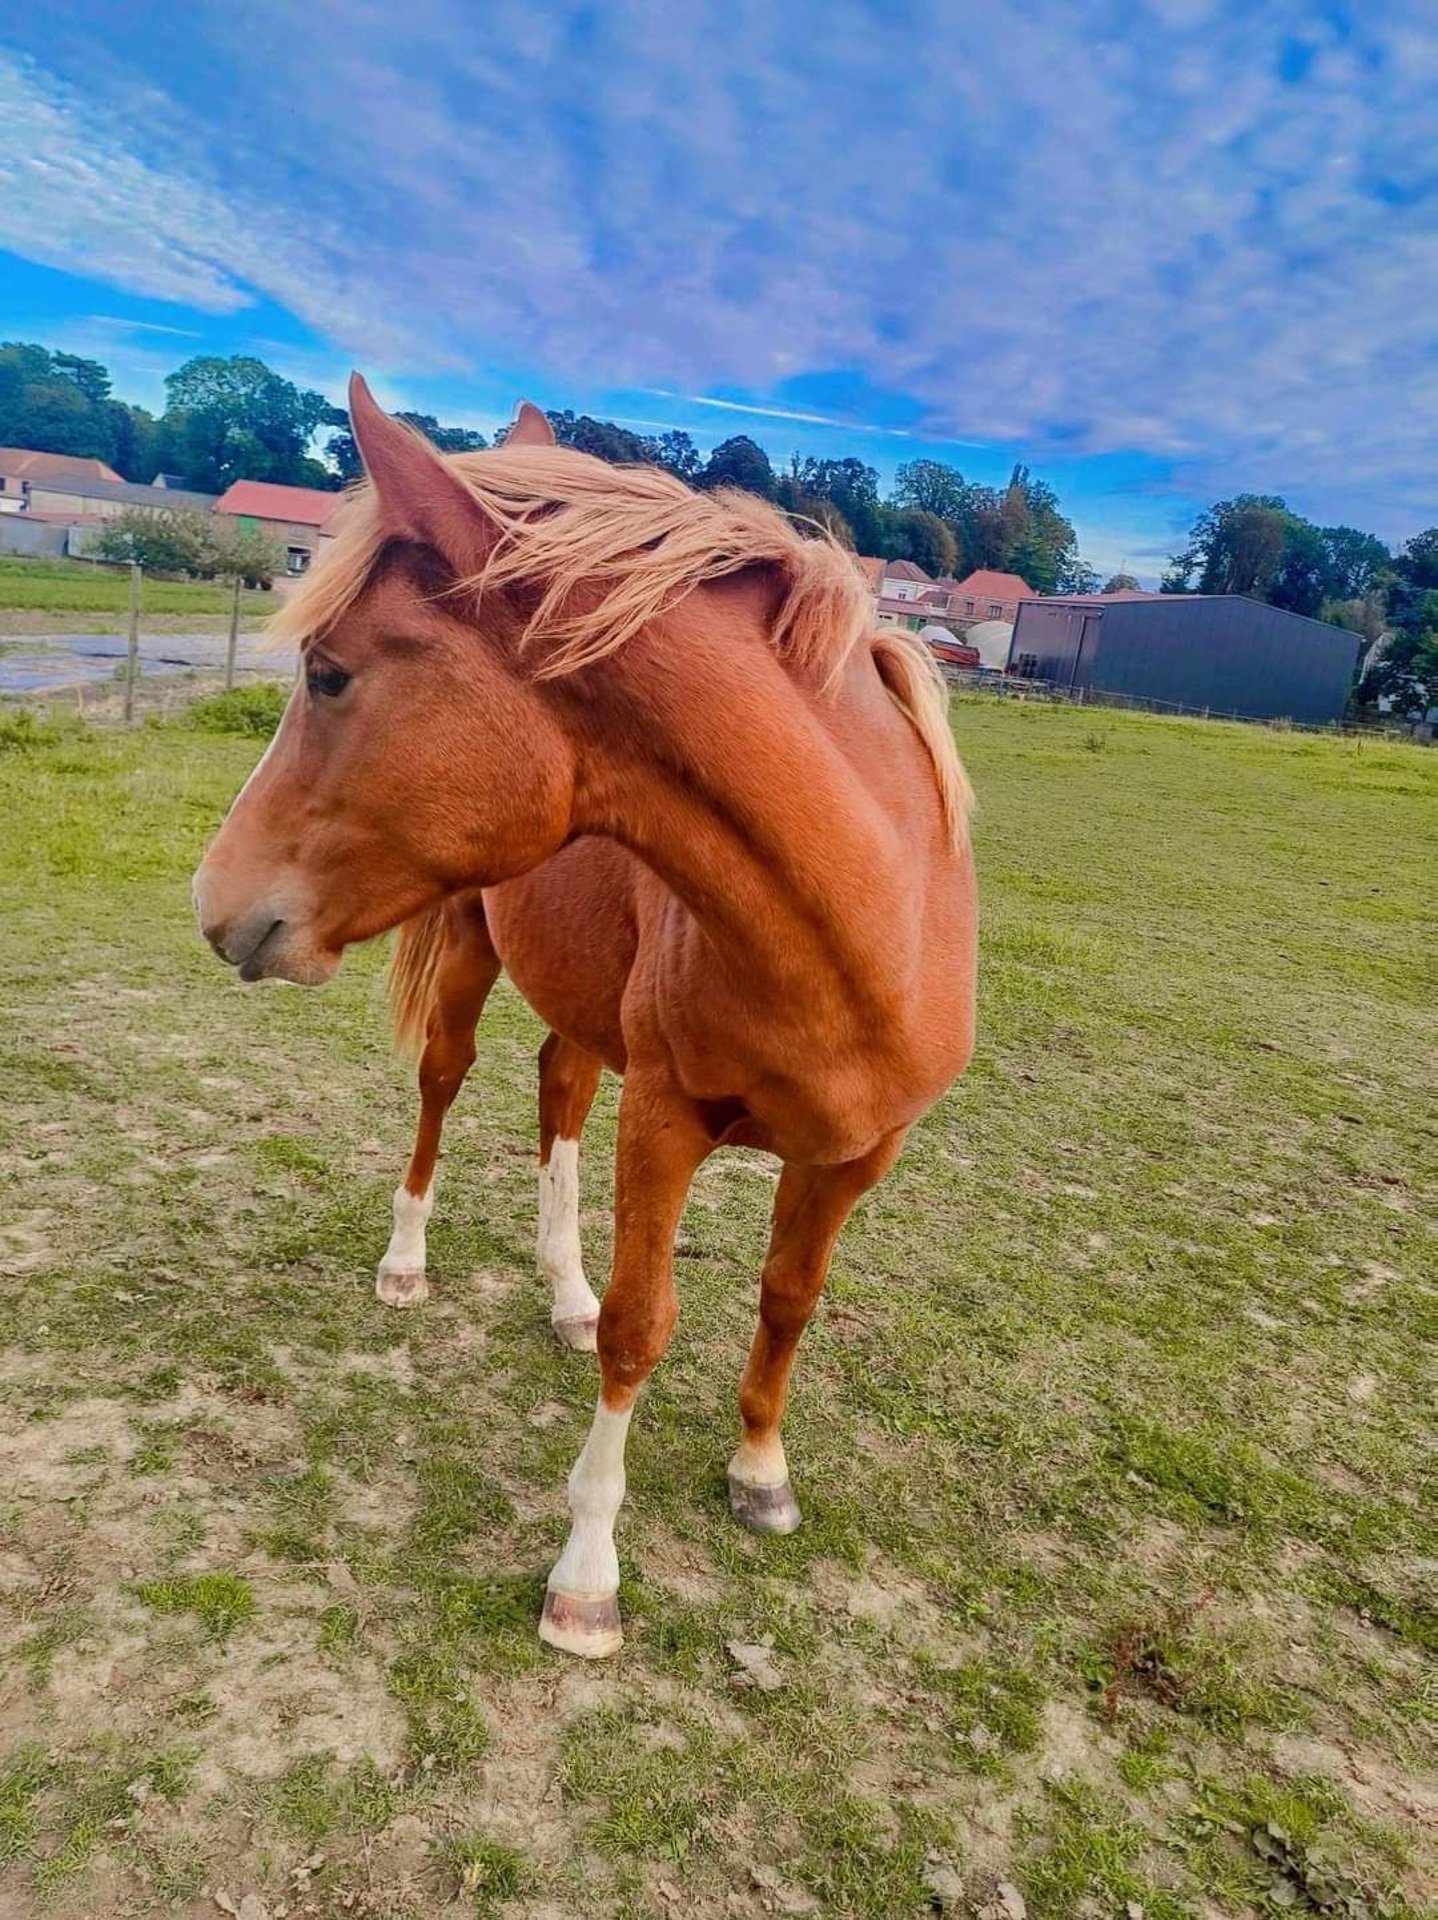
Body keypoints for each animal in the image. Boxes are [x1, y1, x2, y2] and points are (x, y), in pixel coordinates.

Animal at [193, 376, 977, 1658]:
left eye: (328, 673)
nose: (213, 902)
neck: (870, 928)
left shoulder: (859, 1154)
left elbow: (787, 1296)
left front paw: (760, 1469)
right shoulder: (664, 1123)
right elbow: (639, 1327)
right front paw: (587, 1577)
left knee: (558, 1098)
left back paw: (559, 1287)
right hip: (468, 961)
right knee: (442, 1090)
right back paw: (406, 1263)